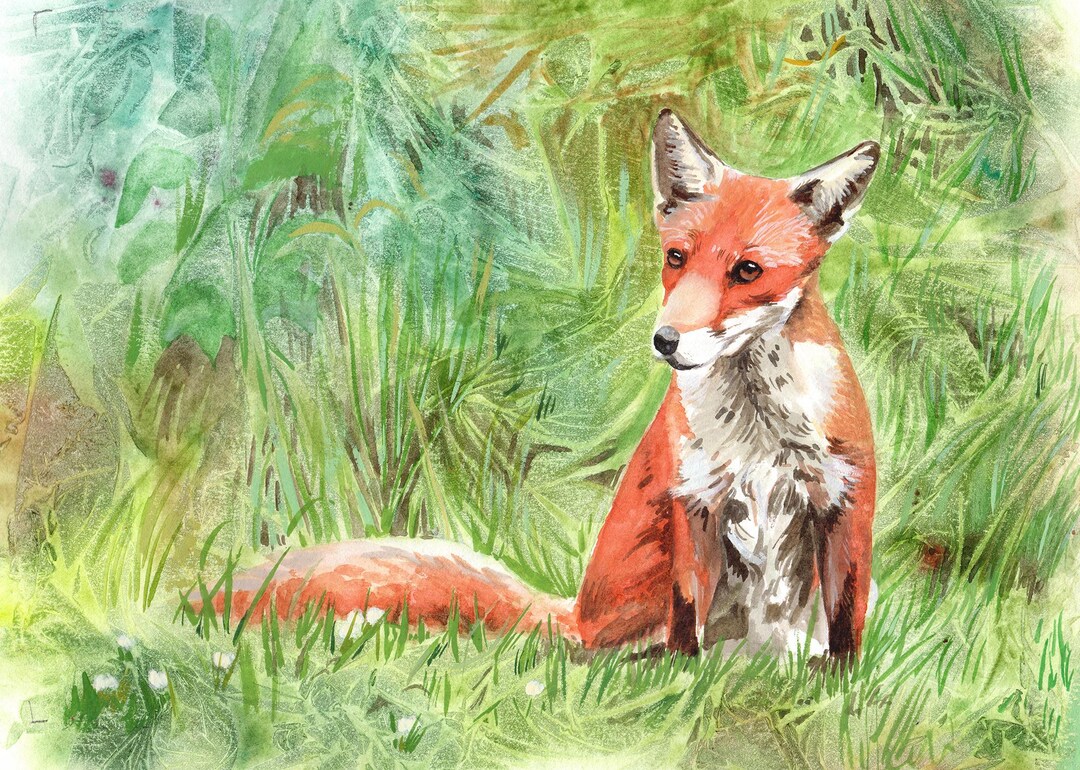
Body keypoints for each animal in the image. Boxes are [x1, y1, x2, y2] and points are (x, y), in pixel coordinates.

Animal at [205, 110, 880, 661]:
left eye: (747, 271)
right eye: (676, 258)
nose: (665, 341)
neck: (757, 434)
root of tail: (578, 615)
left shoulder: (847, 498)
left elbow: (847, 617)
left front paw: (838, 684)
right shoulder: (694, 501)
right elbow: (688, 621)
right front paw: (682, 684)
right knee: (629, 648)